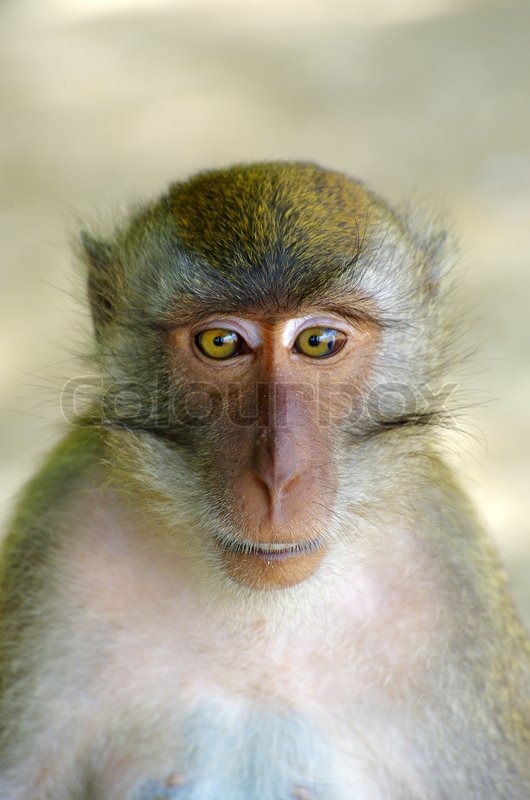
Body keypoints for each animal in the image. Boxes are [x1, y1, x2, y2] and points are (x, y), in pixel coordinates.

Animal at [0, 161, 529, 800]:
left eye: (318, 342)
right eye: (220, 342)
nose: (278, 477)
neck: (262, 613)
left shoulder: (452, 568)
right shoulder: (60, 523)